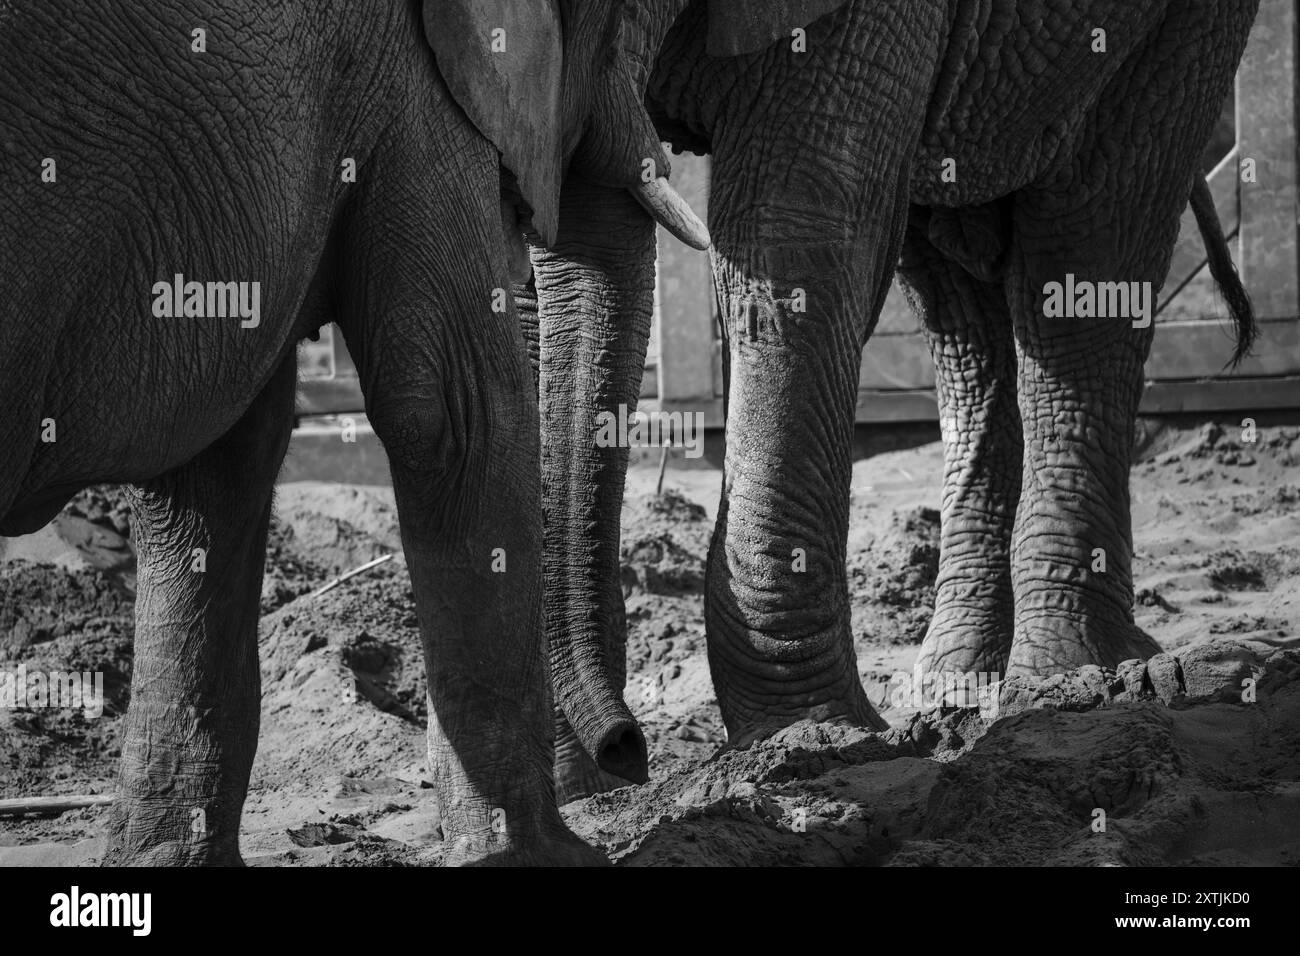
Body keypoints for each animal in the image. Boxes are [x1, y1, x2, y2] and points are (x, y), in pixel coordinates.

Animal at [0, 0, 705, 864]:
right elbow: (459, 417)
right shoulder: (413, 92)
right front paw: (548, 858)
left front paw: (163, 860)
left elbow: (219, 466)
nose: (628, 755)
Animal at [534, 0, 1259, 798]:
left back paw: (1073, 677)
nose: (625, 750)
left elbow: (800, 231)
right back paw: (959, 688)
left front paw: (812, 741)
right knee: (961, 302)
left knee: (1089, 248)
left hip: (1179, 33)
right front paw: (571, 785)